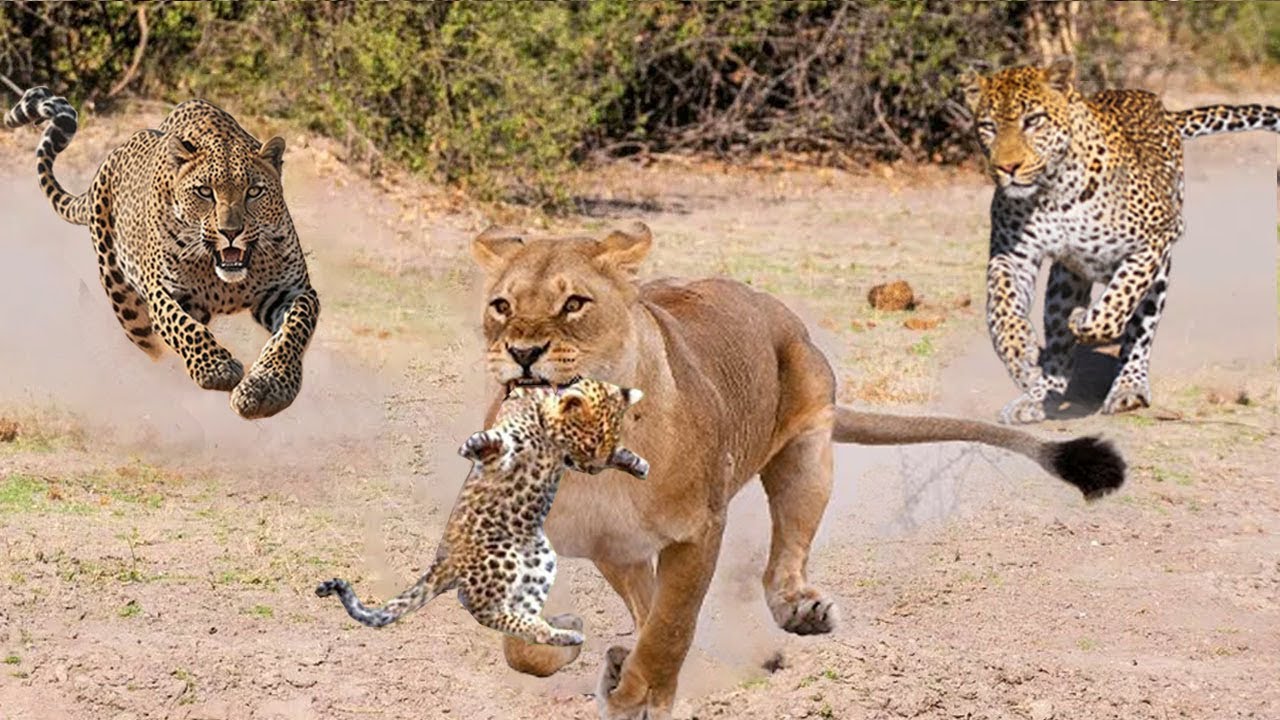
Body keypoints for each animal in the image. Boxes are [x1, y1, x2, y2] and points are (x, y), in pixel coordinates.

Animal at [4, 86, 320, 419]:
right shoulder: (163, 293)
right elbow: (184, 327)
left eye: (254, 192)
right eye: (204, 192)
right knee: (154, 350)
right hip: (126, 304)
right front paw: (217, 370)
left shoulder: (292, 290)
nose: (230, 232)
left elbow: (293, 330)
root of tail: (109, 160)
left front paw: (267, 387)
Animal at [315, 377, 649, 649]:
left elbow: (620, 455)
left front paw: (637, 464)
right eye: (589, 444)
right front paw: (477, 443)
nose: (593, 469)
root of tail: (445, 559)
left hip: (539, 558)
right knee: (478, 606)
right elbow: (500, 441)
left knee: (514, 614)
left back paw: (561, 634)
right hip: (501, 558)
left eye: (605, 446)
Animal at [471, 222, 1125, 719]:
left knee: (781, 557)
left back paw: (794, 613)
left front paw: (637, 693)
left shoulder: (699, 529)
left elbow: (670, 628)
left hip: (808, 456)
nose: (521, 352)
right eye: (501, 306)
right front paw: (571, 645)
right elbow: (530, 643)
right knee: (647, 597)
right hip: (631, 542)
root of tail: (785, 316)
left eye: (574, 303)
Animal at [961, 58, 1280, 424]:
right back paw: (1038, 397)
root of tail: (1161, 107)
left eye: (1033, 120)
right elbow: (1000, 303)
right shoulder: (1013, 253)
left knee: (1139, 331)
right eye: (988, 126)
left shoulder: (1156, 237)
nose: (1007, 167)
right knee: (1058, 351)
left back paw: (1128, 387)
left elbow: (1116, 303)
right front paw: (1018, 351)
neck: (1051, 193)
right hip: (1064, 282)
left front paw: (1085, 320)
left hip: (1159, 272)